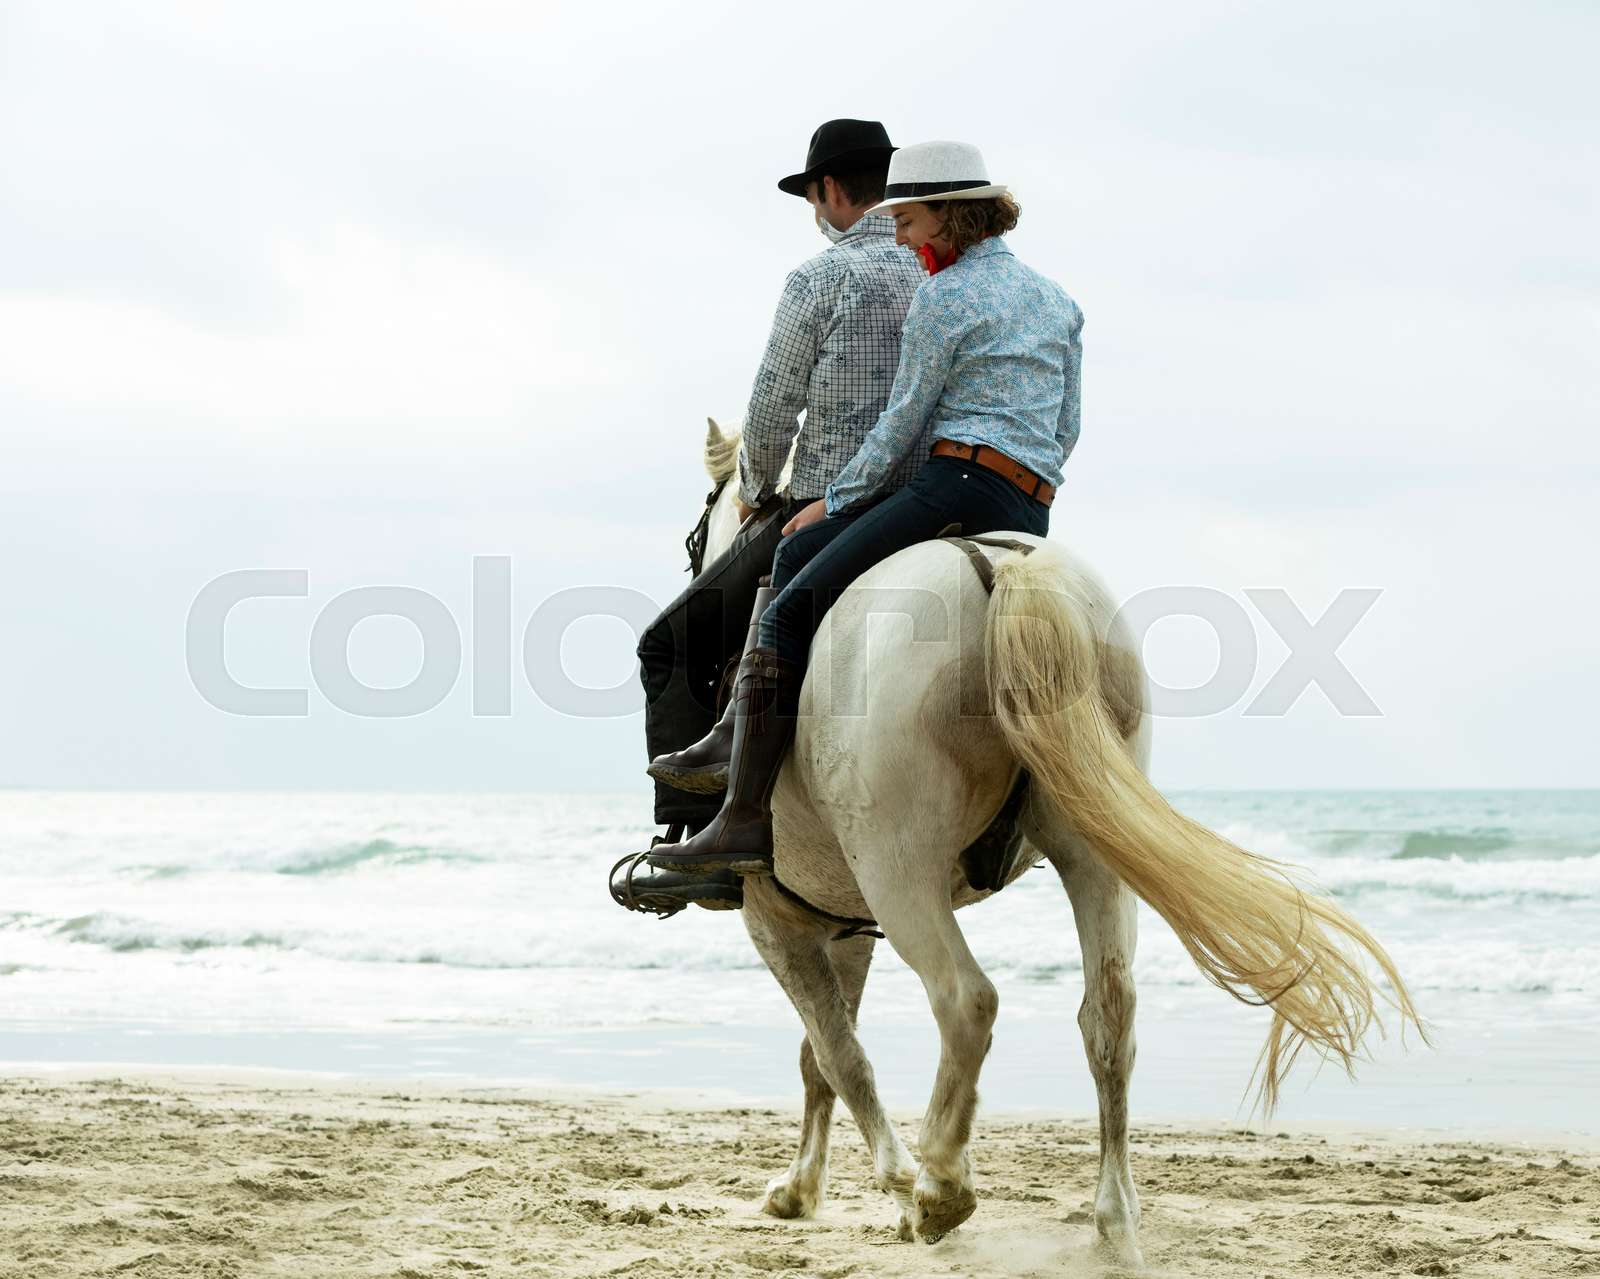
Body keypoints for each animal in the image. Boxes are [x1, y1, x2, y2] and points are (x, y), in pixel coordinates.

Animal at [667, 416, 1424, 1264]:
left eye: (700, 528)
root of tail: (1002, 569)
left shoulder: (778, 918)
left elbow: (837, 1054)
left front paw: (887, 1186)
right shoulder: (839, 920)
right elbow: (821, 1057)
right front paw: (802, 1189)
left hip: (900, 871)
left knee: (966, 1000)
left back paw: (940, 1186)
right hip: (1092, 852)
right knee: (1110, 1011)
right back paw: (1114, 1218)